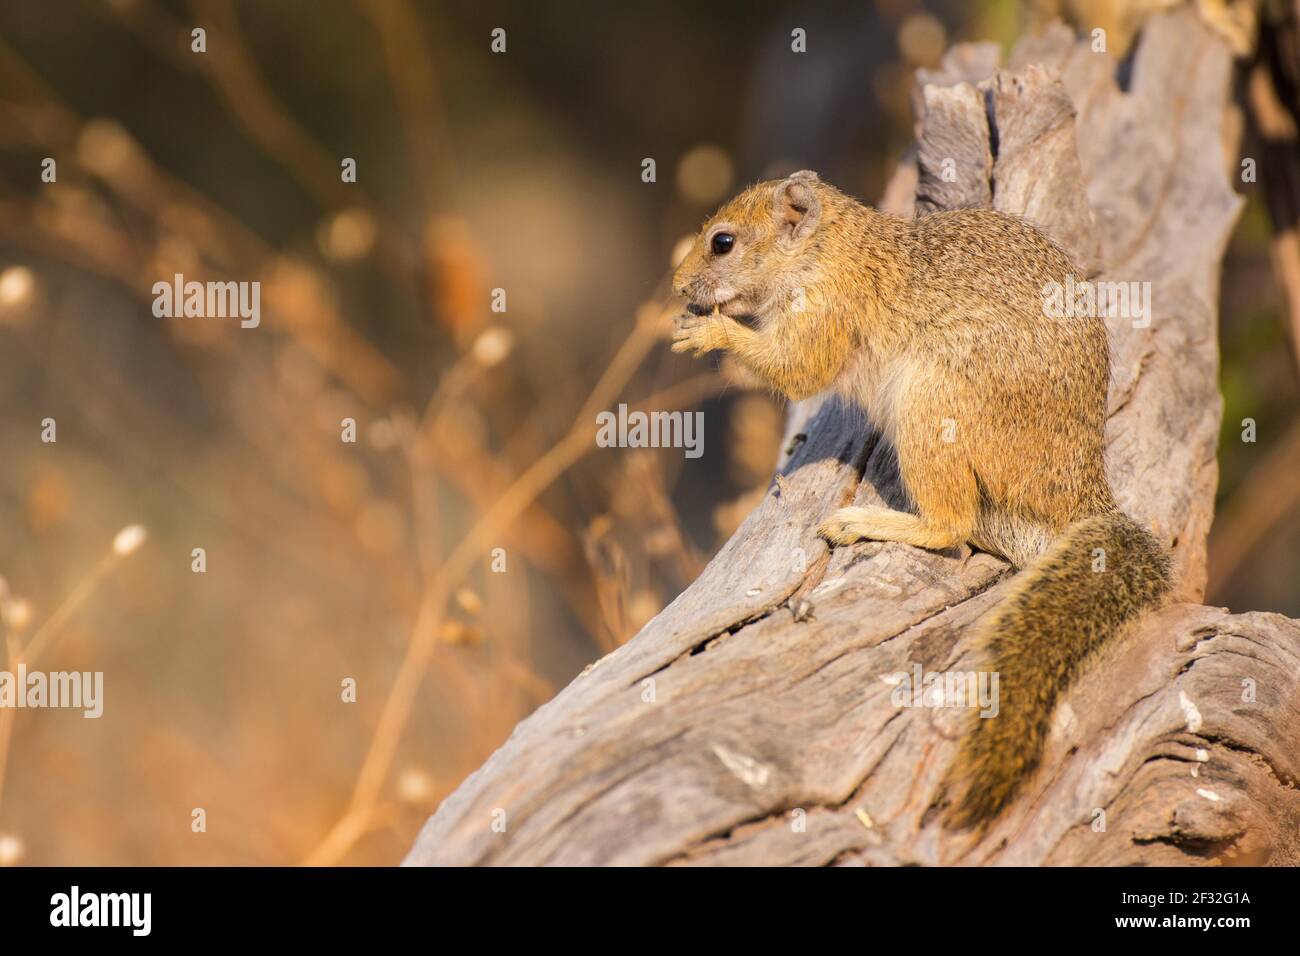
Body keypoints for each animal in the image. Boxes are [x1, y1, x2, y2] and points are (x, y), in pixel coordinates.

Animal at [670, 170, 1172, 829]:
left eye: (722, 242)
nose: (678, 287)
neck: (827, 250)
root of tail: (1076, 490)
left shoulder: (830, 309)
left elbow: (799, 370)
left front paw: (711, 330)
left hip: (932, 404)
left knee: (950, 525)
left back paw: (865, 521)